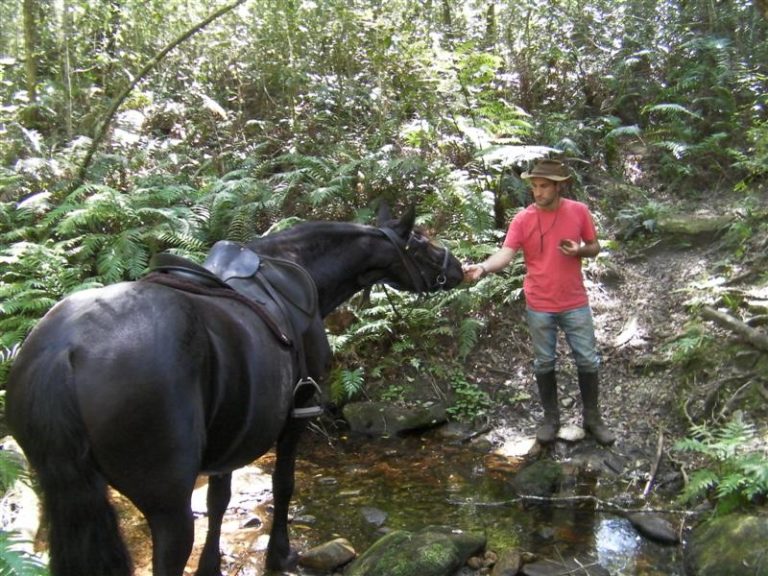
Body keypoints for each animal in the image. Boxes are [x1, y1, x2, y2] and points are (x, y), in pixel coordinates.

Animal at [5, 204, 464, 576]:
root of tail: (63, 352)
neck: (297, 271)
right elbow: (283, 484)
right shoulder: (297, 416)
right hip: (167, 502)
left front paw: (211, 566)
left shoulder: (231, 436)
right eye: (422, 242)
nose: (459, 268)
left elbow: (219, 500)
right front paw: (279, 555)